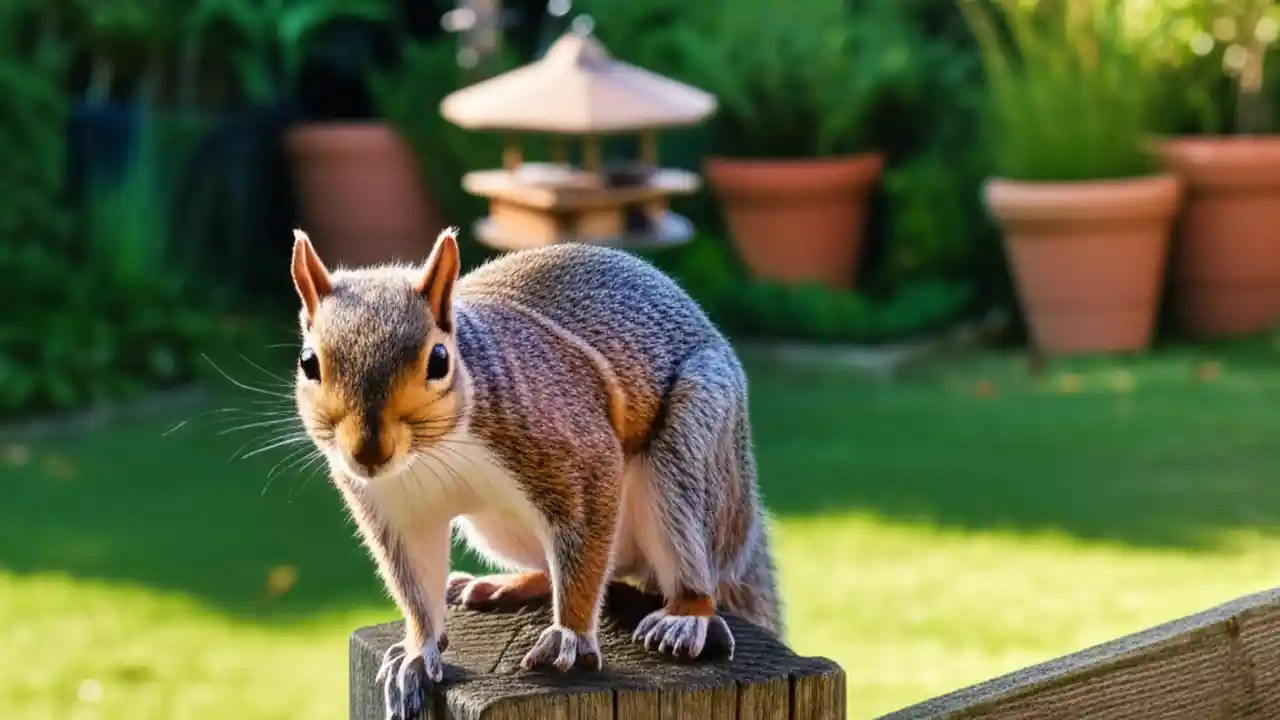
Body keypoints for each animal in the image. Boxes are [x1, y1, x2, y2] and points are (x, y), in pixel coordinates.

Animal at [290, 227, 781, 719]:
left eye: (439, 360)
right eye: (308, 363)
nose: (369, 453)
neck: (433, 451)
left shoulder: (575, 447)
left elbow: (585, 535)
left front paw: (570, 636)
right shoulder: (393, 507)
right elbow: (416, 585)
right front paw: (416, 653)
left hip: (692, 451)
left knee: (677, 561)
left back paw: (684, 617)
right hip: (499, 530)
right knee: (573, 565)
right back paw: (507, 585)